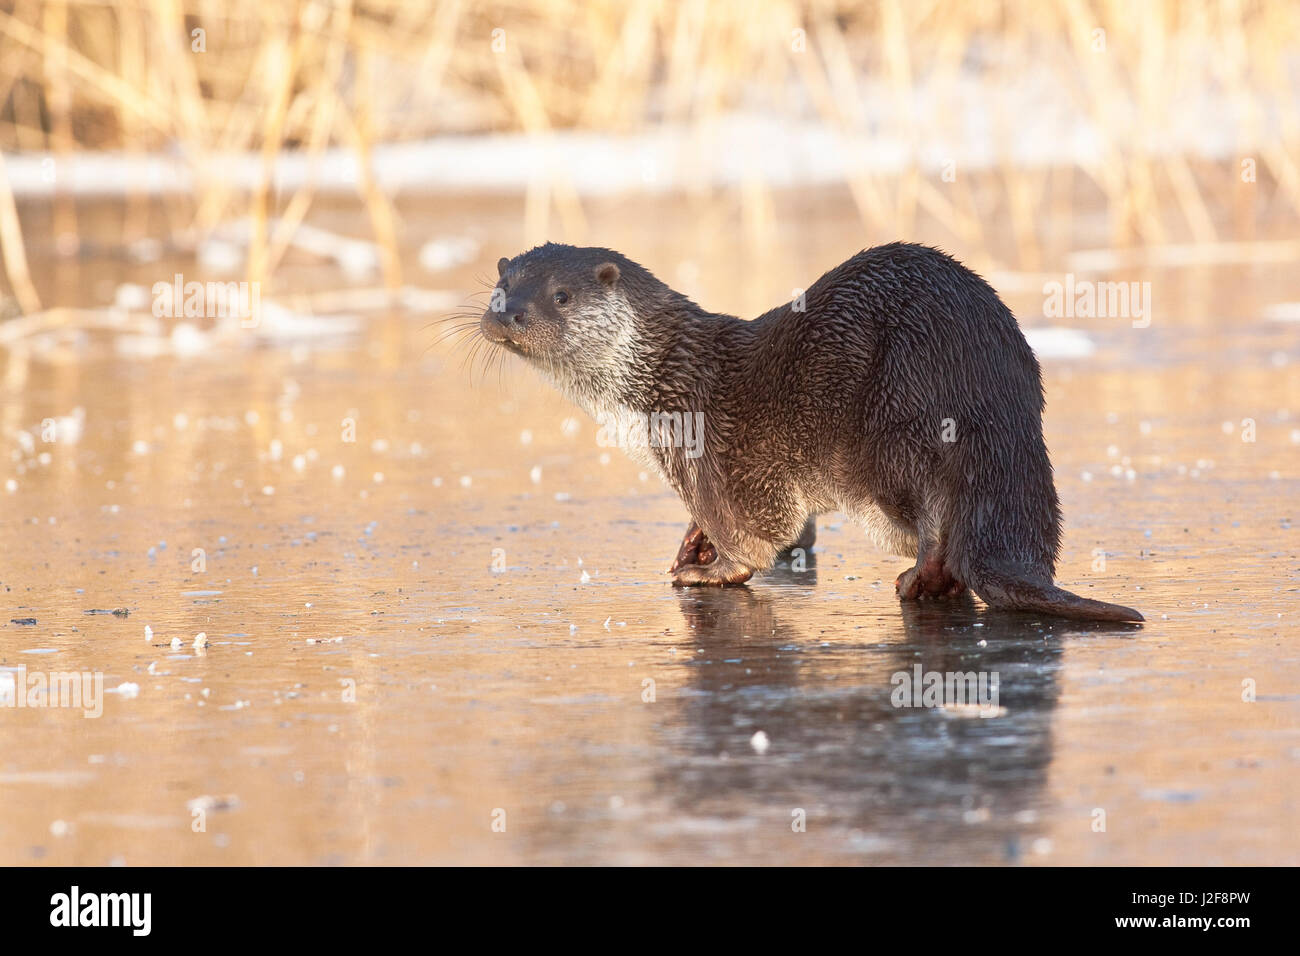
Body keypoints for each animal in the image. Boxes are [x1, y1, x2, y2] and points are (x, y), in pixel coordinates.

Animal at [478, 241, 1143, 624]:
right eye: (500, 289)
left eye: (561, 296)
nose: (509, 314)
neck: (662, 376)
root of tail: (990, 394)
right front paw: (691, 545)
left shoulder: (715, 449)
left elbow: (753, 530)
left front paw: (712, 569)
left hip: (898, 418)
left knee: (935, 512)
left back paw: (920, 578)